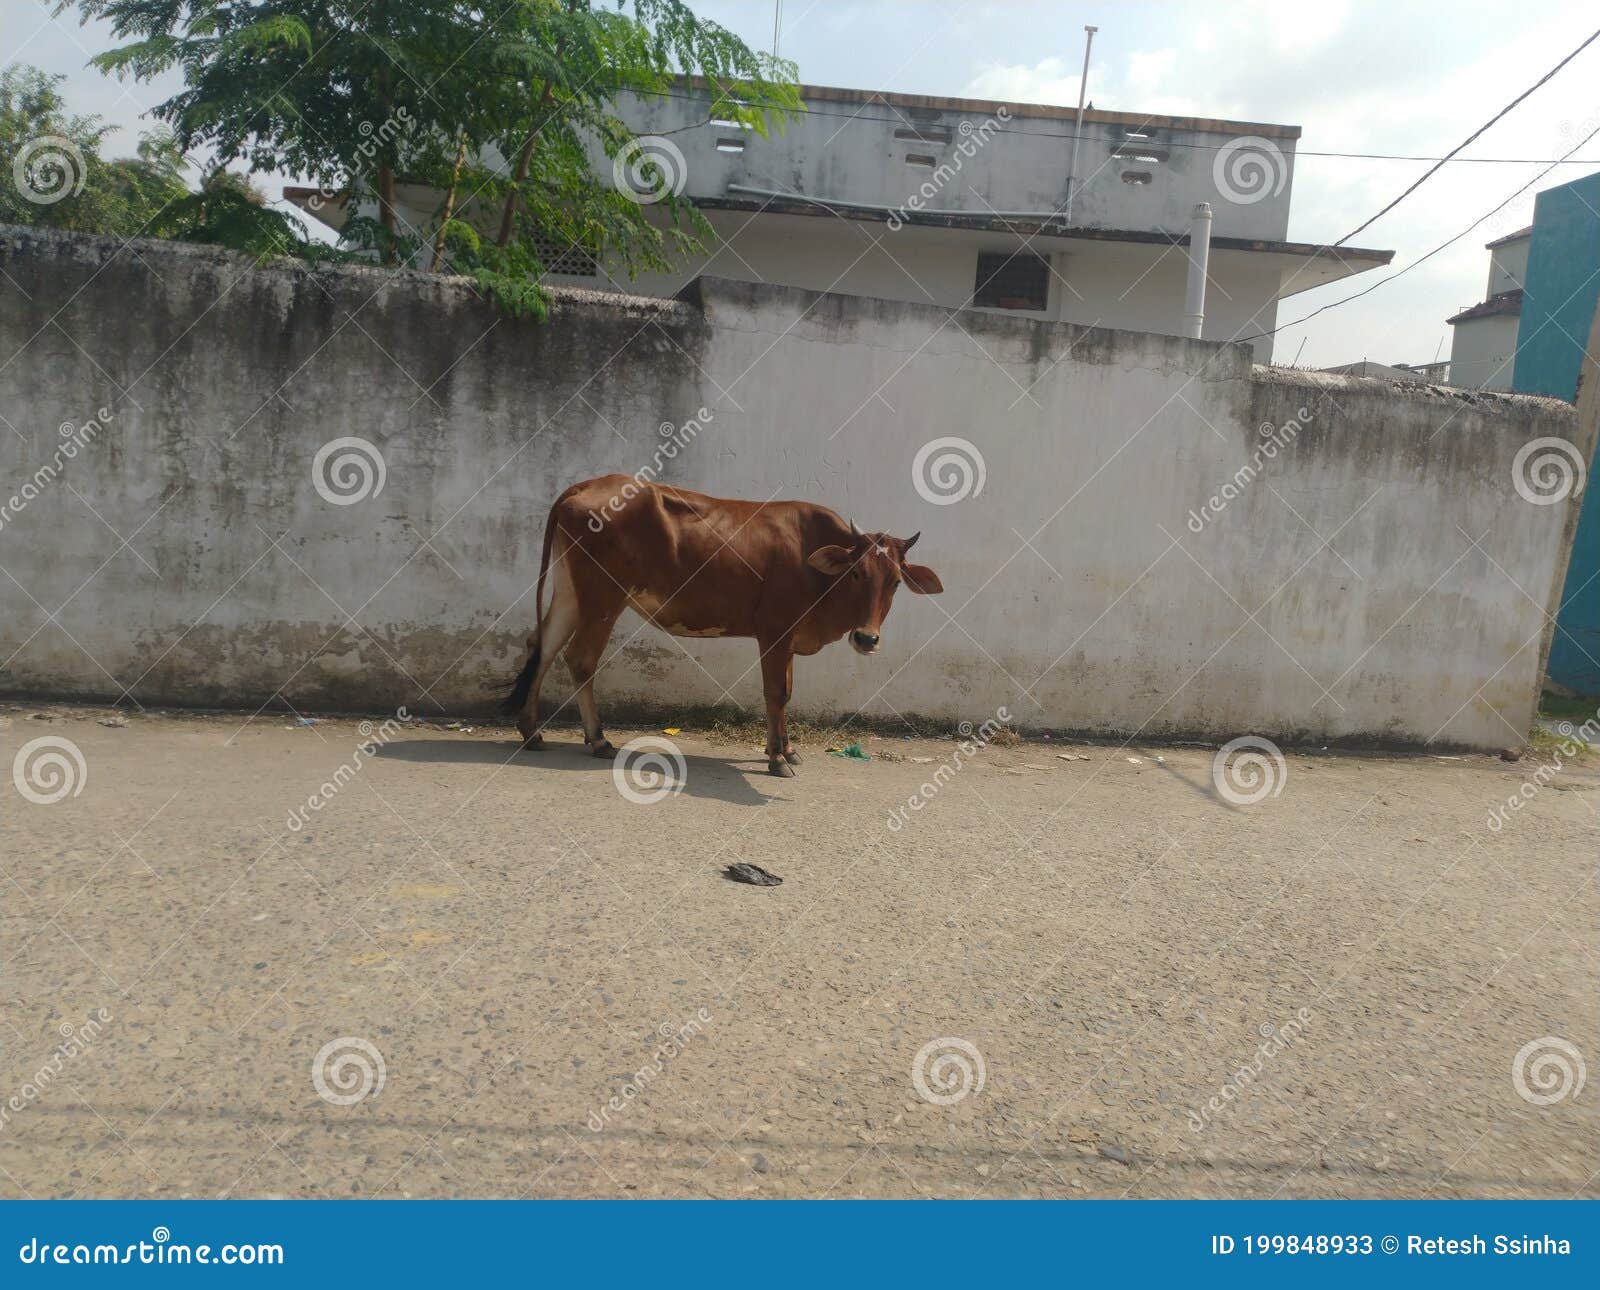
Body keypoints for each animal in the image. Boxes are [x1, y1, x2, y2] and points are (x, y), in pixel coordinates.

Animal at [503, 474, 944, 777]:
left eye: (896, 581)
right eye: (855, 573)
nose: (867, 638)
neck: (814, 566)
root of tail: (583, 486)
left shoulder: (788, 639)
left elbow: (786, 693)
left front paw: (787, 750)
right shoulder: (774, 633)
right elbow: (776, 694)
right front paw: (777, 759)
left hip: (569, 593)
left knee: (544, 645)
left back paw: (531, 731)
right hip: (603, 599)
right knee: (579, 658)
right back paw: (597, 738)